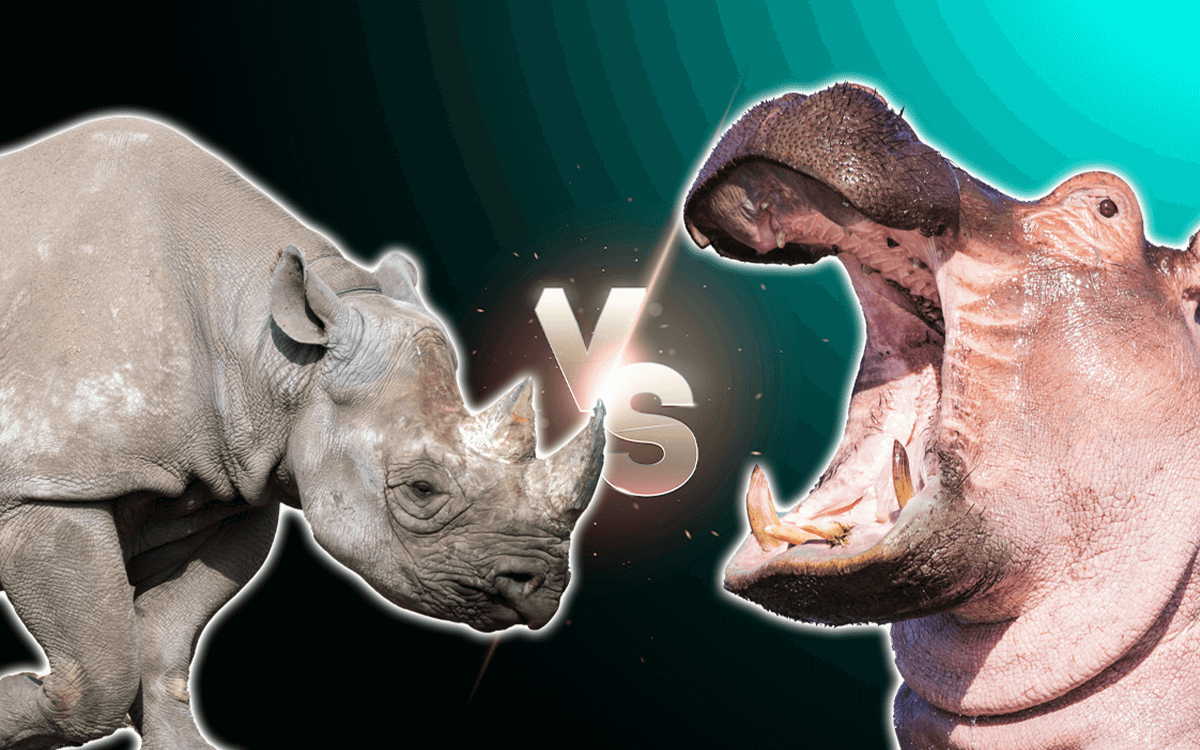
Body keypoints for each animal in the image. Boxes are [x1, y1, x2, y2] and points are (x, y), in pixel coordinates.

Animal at [0, 117, 604, 750]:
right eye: (421, 490)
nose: (541, 589)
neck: (275, 351)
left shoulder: (233, 482)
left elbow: (162, 643)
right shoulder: (48, 484)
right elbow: (100, 671)